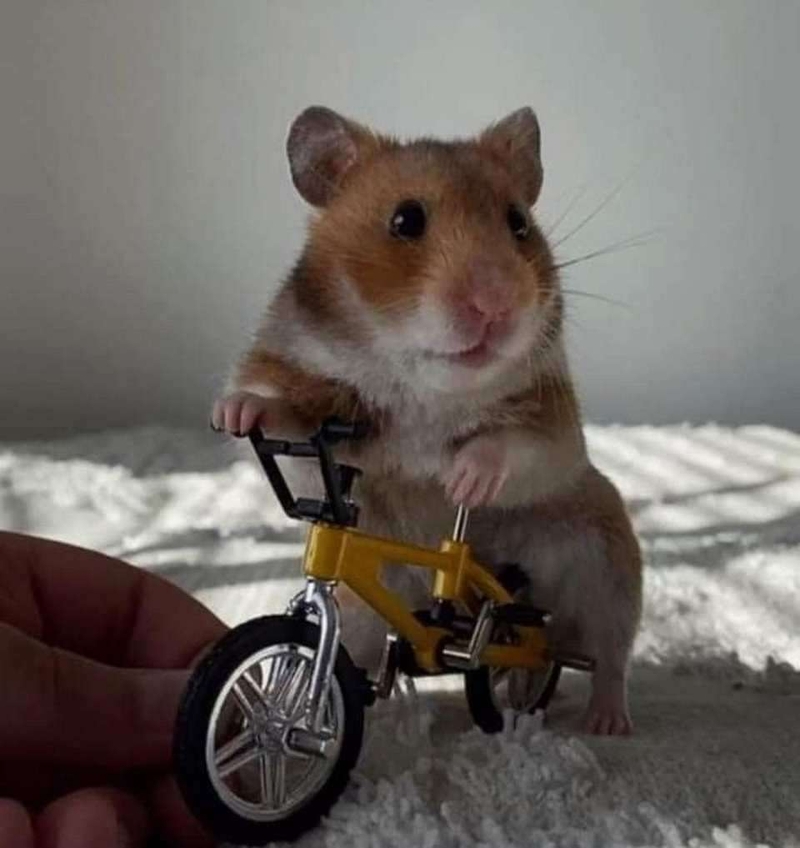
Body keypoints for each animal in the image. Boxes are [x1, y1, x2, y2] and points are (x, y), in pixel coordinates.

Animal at [212, 106, 642, 735]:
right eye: (405, 220)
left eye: (518, 223)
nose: (497, 305)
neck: (423, 387)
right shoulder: (305, 408)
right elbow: (279, 413)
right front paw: (235, 412)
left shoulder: (555, 422)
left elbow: (519, 447)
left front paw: (461, 478)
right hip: (361, 619)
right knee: (346, 660)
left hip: (607, 564)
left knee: (601, 656)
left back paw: (604, 722)